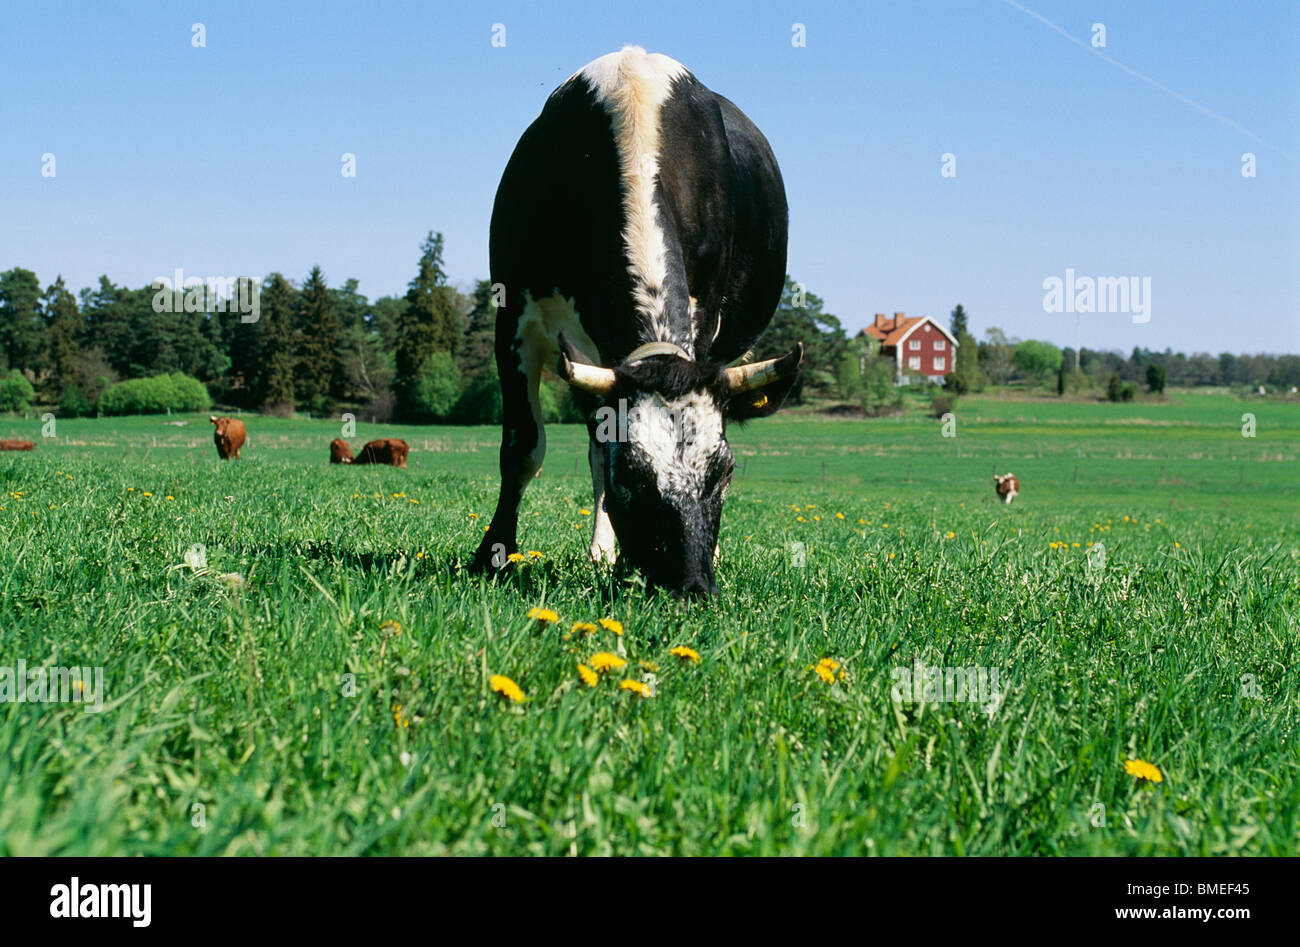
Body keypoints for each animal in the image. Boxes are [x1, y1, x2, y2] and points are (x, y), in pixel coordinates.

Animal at [469, 46, 802, 598]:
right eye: (630, 474)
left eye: (726, 472)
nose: (693, 589)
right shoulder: (513, 314)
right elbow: (522, 447)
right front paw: (492, 557)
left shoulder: (704, 323)